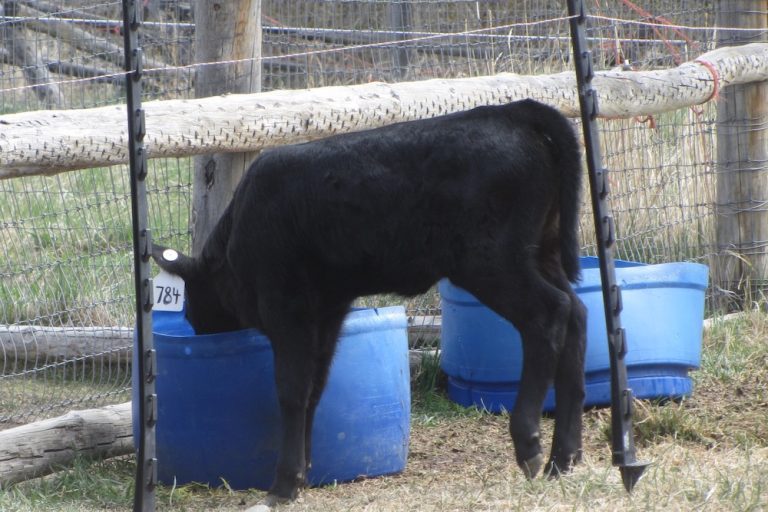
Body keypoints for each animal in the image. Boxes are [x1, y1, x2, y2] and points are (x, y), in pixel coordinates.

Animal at [151, 99, 587, 508]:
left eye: (193, 306)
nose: (200, 331)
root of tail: (513, 112)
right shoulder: (327, 312)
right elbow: (314, 388)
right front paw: (303, 473)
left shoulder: (288, 308)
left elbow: (292, 392)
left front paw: (283, 484)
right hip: (541, 252)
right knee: (577, 315)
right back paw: (563, 458)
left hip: (491, 263)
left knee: (549, 315)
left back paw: (529, 445)